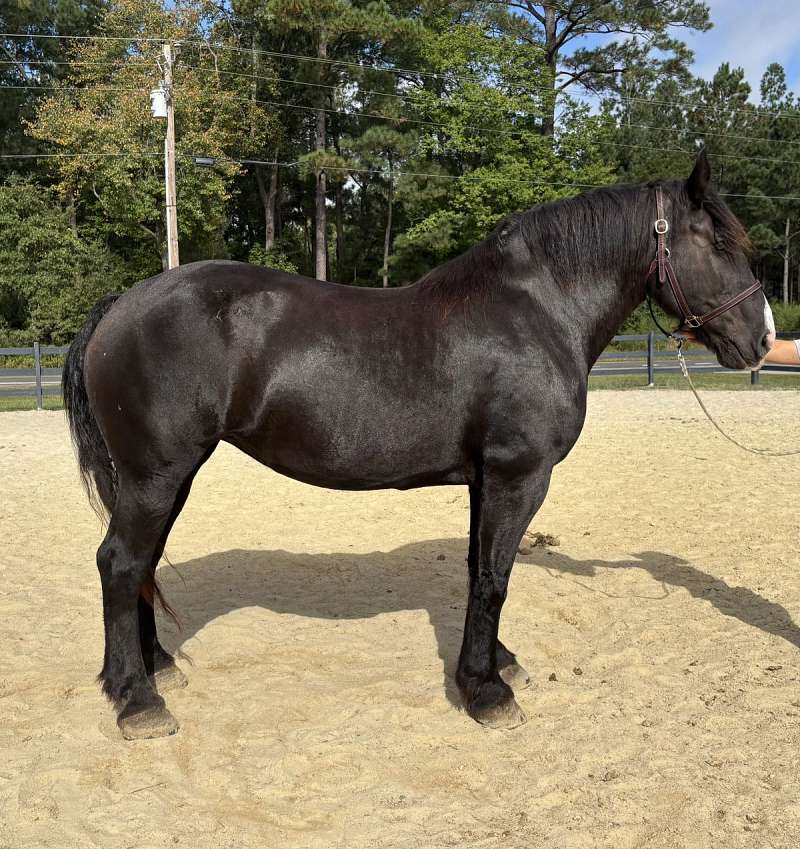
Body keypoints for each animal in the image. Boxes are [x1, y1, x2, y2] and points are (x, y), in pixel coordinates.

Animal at [63, 150, 774, 740]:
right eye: (717, 241)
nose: (764, 338)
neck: (537, 314)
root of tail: (120, 305)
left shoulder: (486, 479)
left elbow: (479, 569)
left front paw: (496, 664)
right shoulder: (519, 475)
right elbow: (493, 578)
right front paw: (486, 692)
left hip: (166, 477)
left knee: (142, 565)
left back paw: (155, 667)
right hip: (157, 474)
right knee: (120, 564)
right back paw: (137, 700)